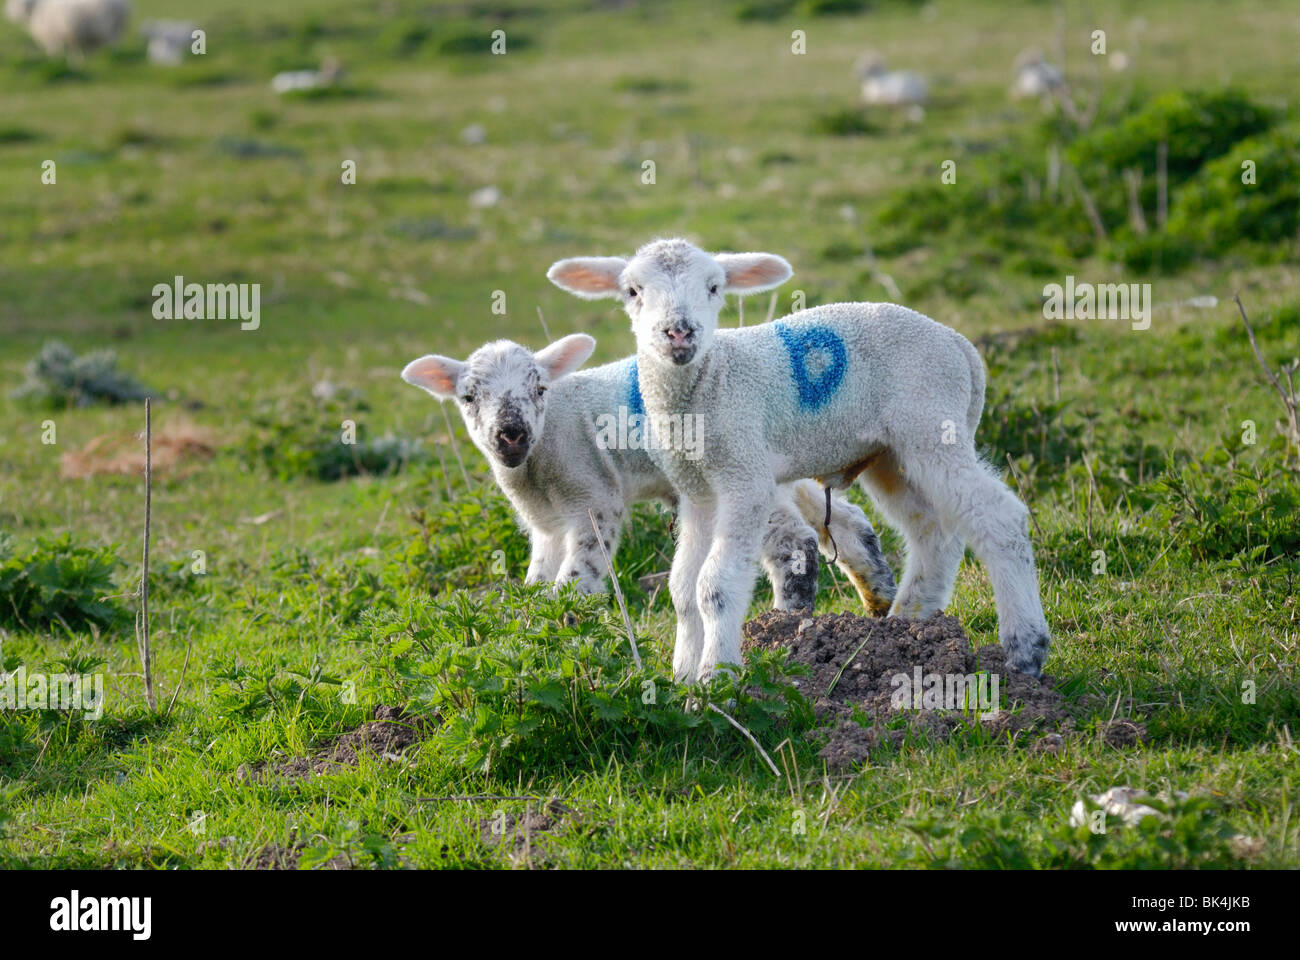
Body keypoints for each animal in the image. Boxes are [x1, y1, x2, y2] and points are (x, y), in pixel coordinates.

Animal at [400, 335, 897, 615]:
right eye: (468, 397)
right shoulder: (544, 524)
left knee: (795, 543)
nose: (511, 435)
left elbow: (576, 576)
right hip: (781, 465)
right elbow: (537, 580)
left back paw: (787, 623)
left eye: (539, 388)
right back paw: (880, 601)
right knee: (846, 523)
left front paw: (559, 627)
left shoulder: (592, 495)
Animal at [548, 239, 1051, 683]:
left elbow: (714, 586)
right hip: (892, 453)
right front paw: (682, 677)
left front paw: (715, 680)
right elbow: (683, 591)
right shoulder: (697, 492)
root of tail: (961, 347)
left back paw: (1025, 651)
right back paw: (906, 626)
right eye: (633, 291)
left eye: (714, 287)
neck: (712, 380)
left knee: (998, 516)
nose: (679, 331)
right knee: (932, 530)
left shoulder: (743, 476)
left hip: (931, 425)